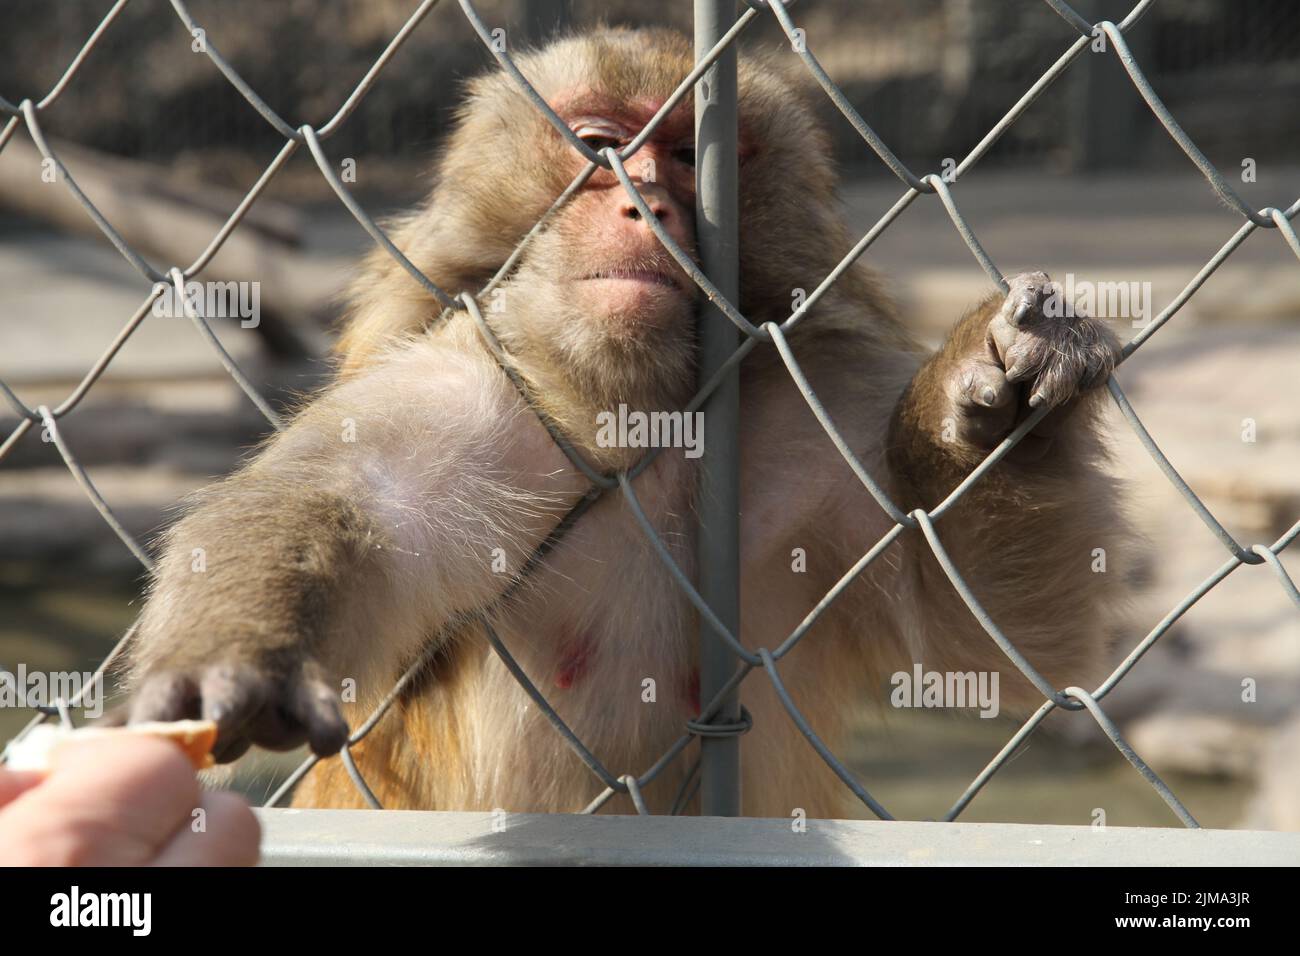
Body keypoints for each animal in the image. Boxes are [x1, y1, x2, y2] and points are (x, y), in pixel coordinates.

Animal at [122, 28, 1129, 818]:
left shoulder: (813, 400)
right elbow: (354, 492)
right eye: (601, 145)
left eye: (686, 156)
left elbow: (1006, 641)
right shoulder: (482, 374)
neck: (646, 420)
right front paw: (235, 659)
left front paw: (992, 388)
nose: (644, 200)